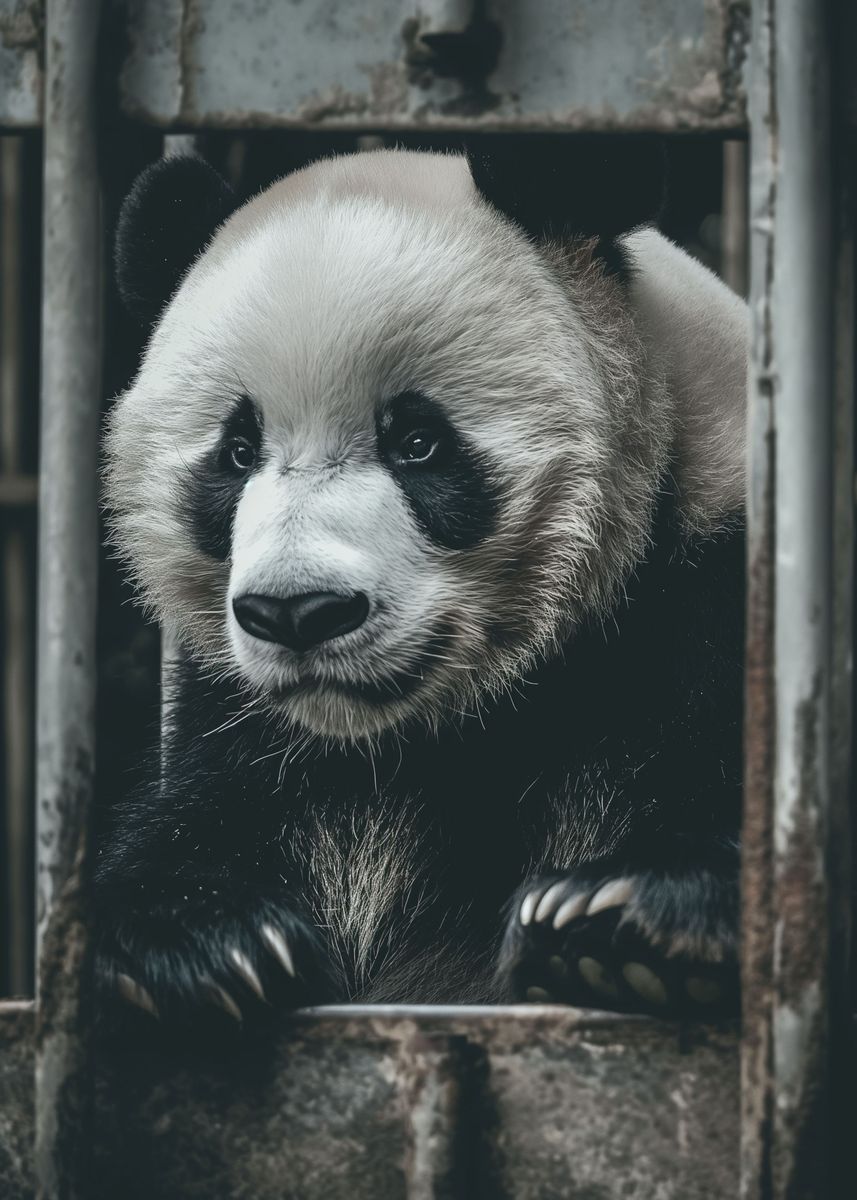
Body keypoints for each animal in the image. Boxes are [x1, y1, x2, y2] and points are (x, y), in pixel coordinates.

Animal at [97, 144, 747, 1026]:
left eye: (416, 442)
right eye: (235, 453)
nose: (297, 614)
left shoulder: (708, 584)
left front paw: (625, 916)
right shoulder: (254, 726)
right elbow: (216, 813)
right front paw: (205, 944)